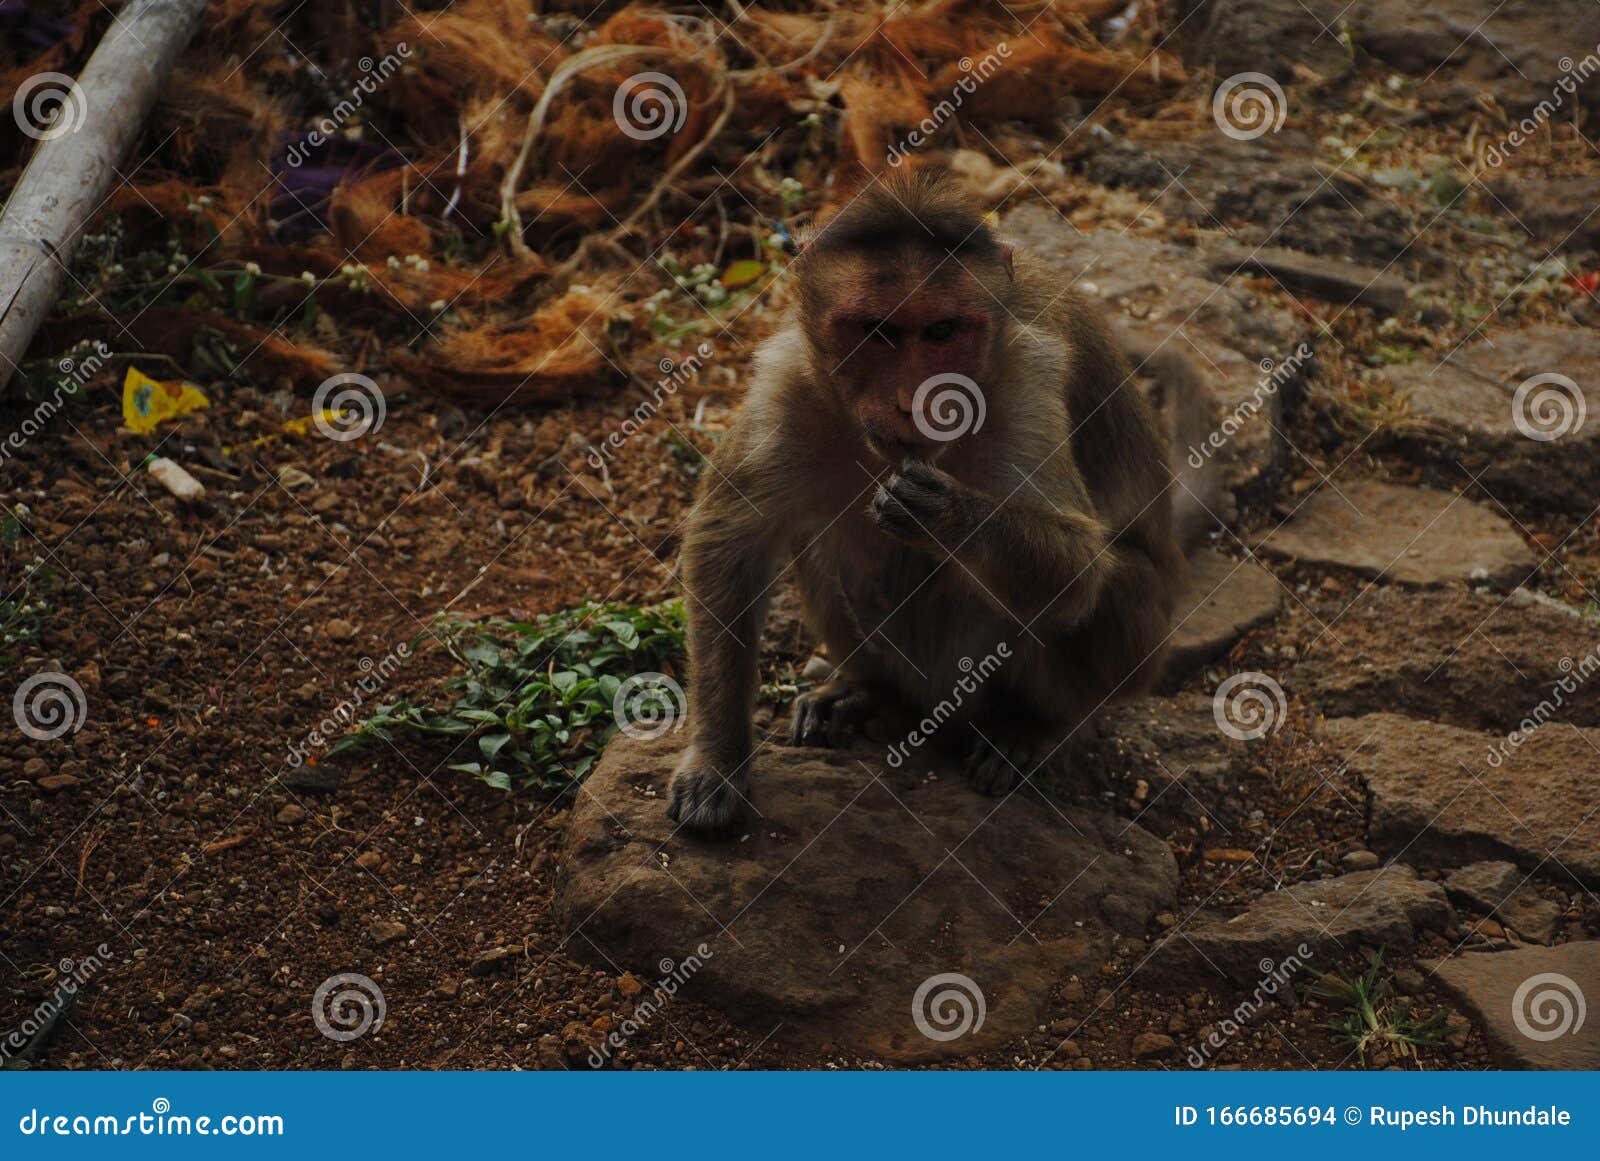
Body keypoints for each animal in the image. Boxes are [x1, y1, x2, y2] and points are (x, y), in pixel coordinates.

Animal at [666, 167, 1213, 837]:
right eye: (876, 332)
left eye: (942, 332)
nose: (915, 401)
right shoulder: (786, 381)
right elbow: (729, 543)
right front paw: (717, 761)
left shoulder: (1028, 377)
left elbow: (1080, 567)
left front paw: (943, 513)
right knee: (816, 536)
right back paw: (868, 691)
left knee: (1117, 593)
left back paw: (1035, 728)